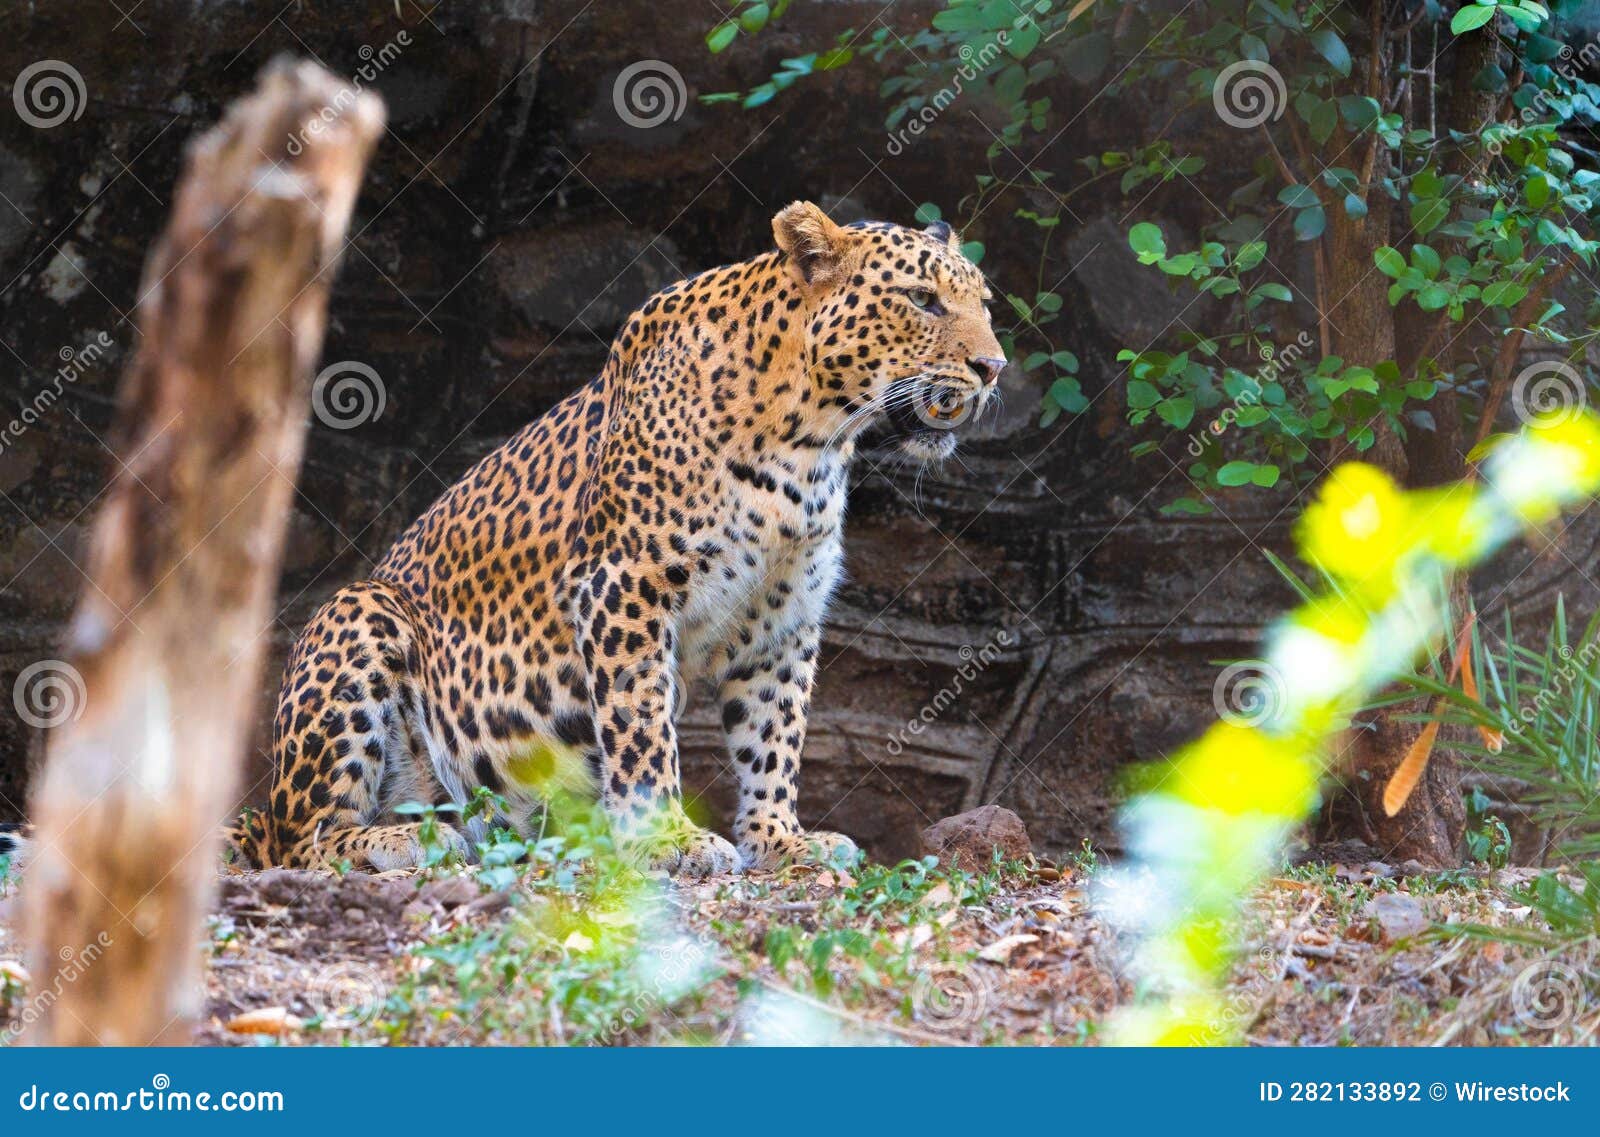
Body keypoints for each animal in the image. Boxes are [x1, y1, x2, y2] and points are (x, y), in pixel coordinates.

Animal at [221, 200, 1006, 876]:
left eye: (985, 305)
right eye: (922, 300)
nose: (993, 368)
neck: (811, 442)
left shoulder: (785, 617)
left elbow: (774, 735)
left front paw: (780, 839)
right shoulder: (625, 585)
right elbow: (642, 725)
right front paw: (669, 841)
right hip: (358, 615)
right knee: (300, 838)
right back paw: (402, 836)